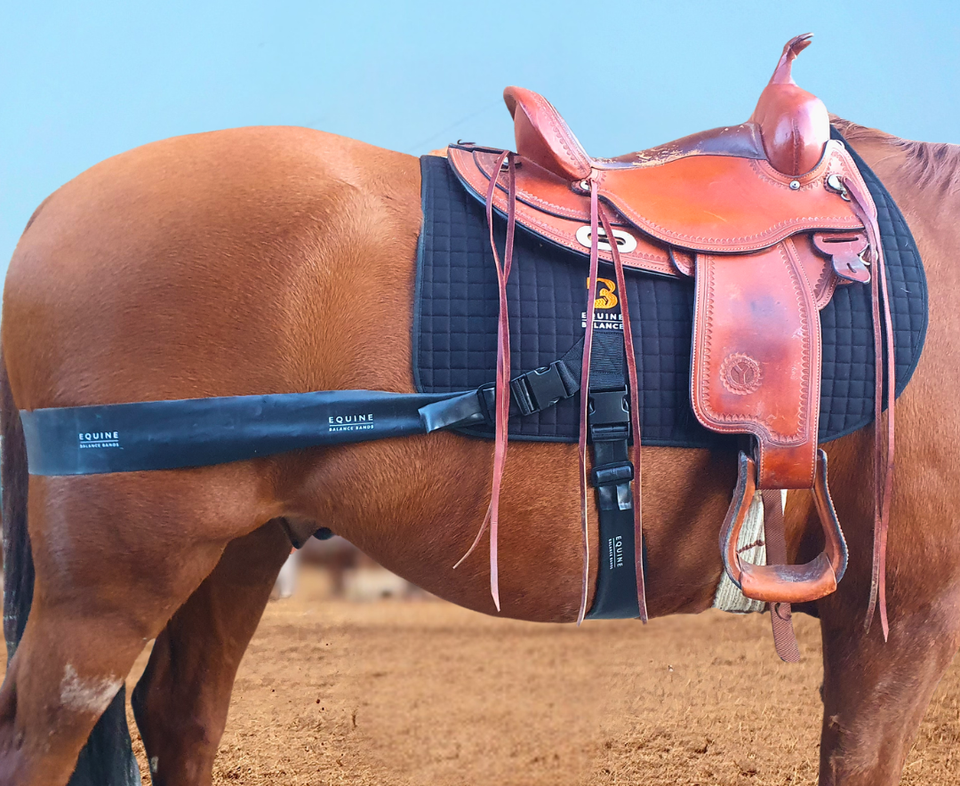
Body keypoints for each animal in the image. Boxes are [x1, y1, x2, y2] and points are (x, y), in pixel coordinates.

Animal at [0, 113, 958, 786]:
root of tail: (47, 212)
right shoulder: (900, 618)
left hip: (238, 549)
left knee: (181, 716)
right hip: (112, 586)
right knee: (39, 733)